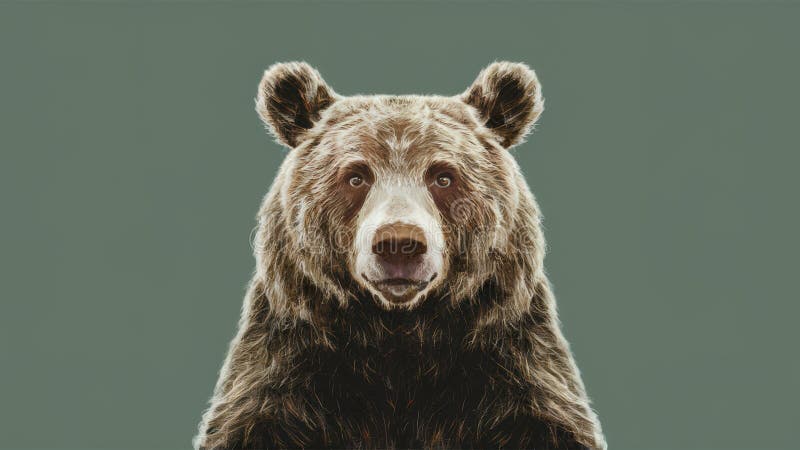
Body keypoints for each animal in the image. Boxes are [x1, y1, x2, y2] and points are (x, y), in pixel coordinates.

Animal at [195, 61, 606, 450]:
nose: (398, 243)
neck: (401, 335)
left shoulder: (512, 364)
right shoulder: (286, 366)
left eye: (443, 176)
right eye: (356, 176)